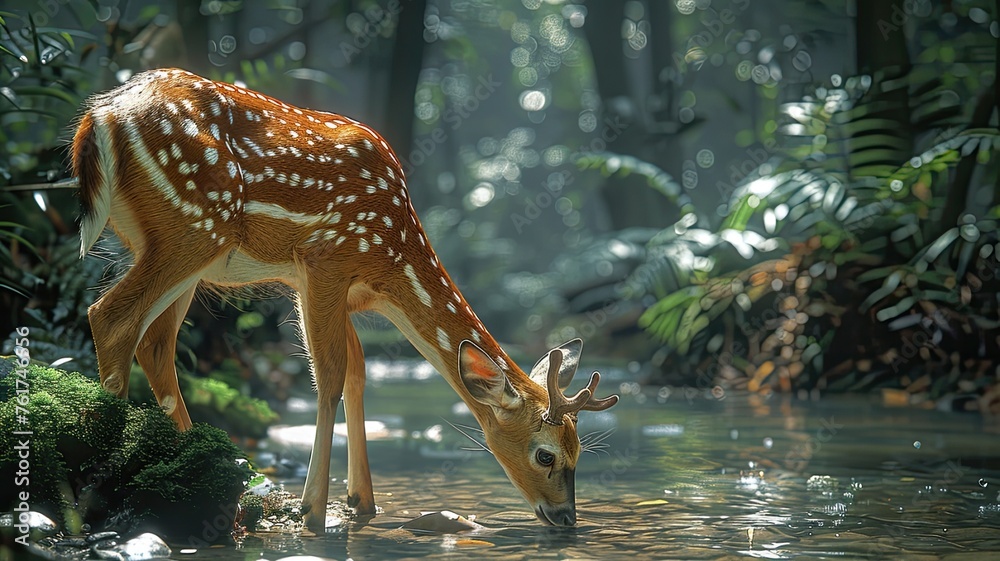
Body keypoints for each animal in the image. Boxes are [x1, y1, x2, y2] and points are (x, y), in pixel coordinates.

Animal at [71, 68, 619, 530]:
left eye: (580, 453)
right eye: (546, 454)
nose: (567, 518)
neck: (390, 257)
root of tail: (99, 115)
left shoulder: (335, 289)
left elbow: (358, 372)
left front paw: (362, 501)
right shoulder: (323, 262)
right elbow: (330, 374)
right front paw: (314, 510)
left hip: (170, 246)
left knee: (155, 344)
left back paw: (212, 475)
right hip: (196, 223)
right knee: (110, 318)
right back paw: (106, 481)